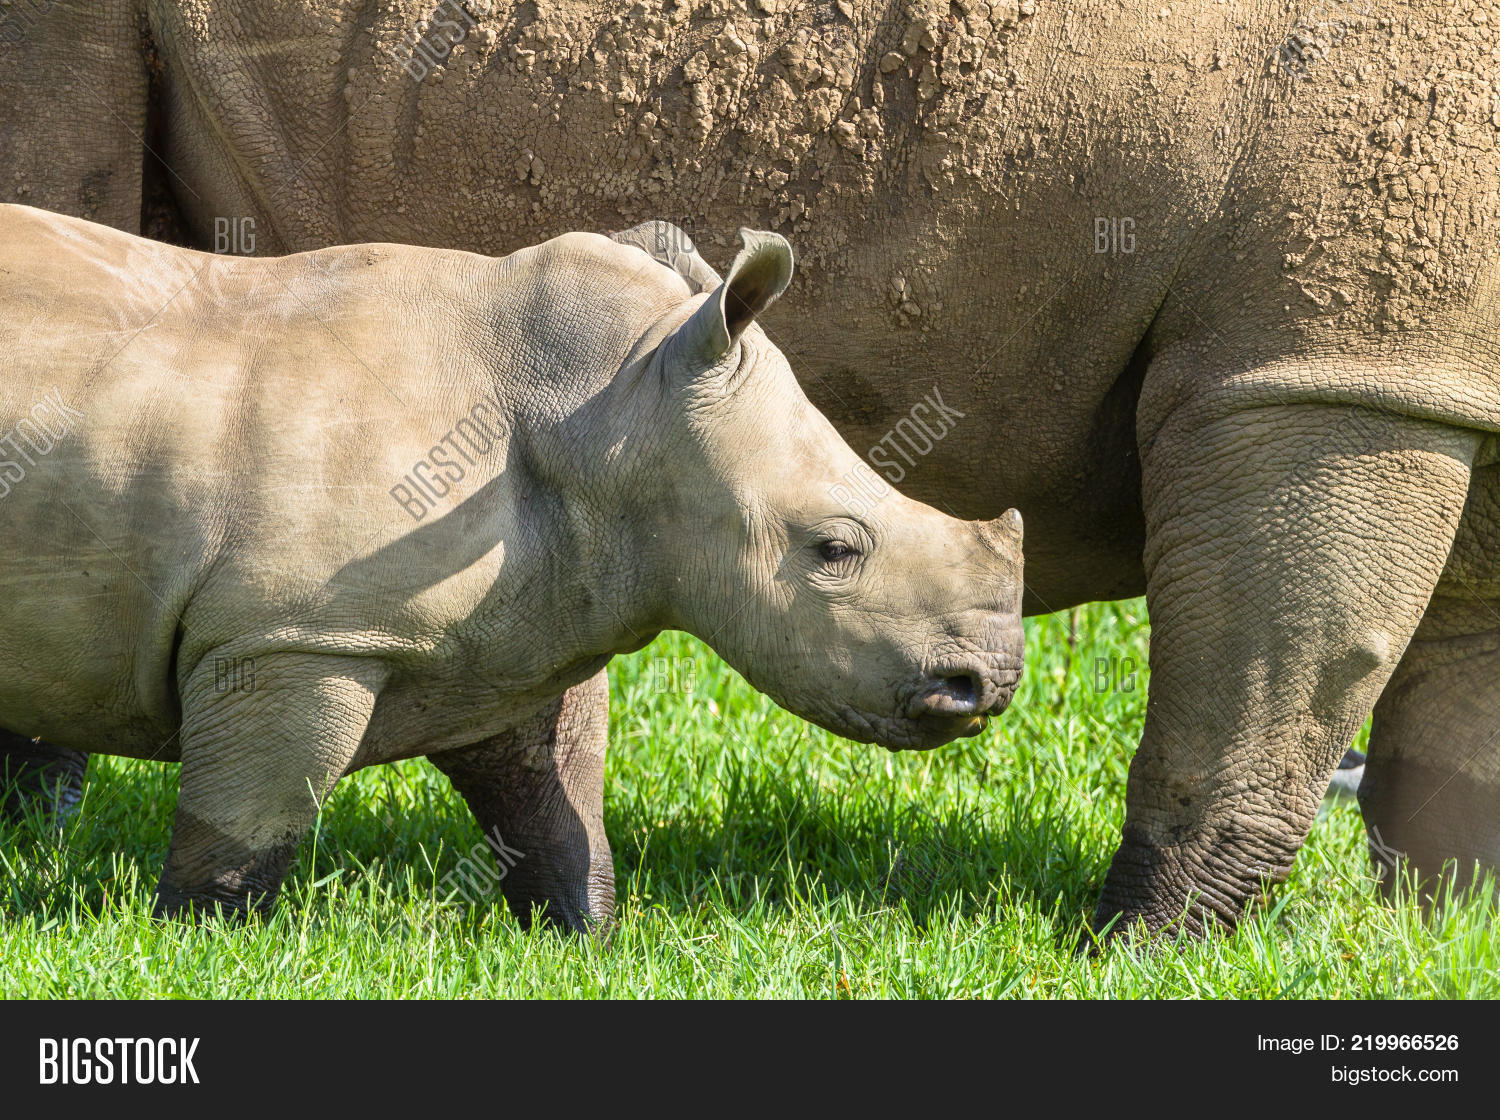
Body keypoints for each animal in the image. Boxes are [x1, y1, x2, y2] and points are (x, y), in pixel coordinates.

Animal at [0, 203, 1024, 927]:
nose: (993, 683)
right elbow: (247, 822)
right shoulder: (294, 635)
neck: (610, 413)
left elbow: (555, 805)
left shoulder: (527, 620)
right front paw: (199, 940)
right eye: (835, 550)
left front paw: (587, 939)